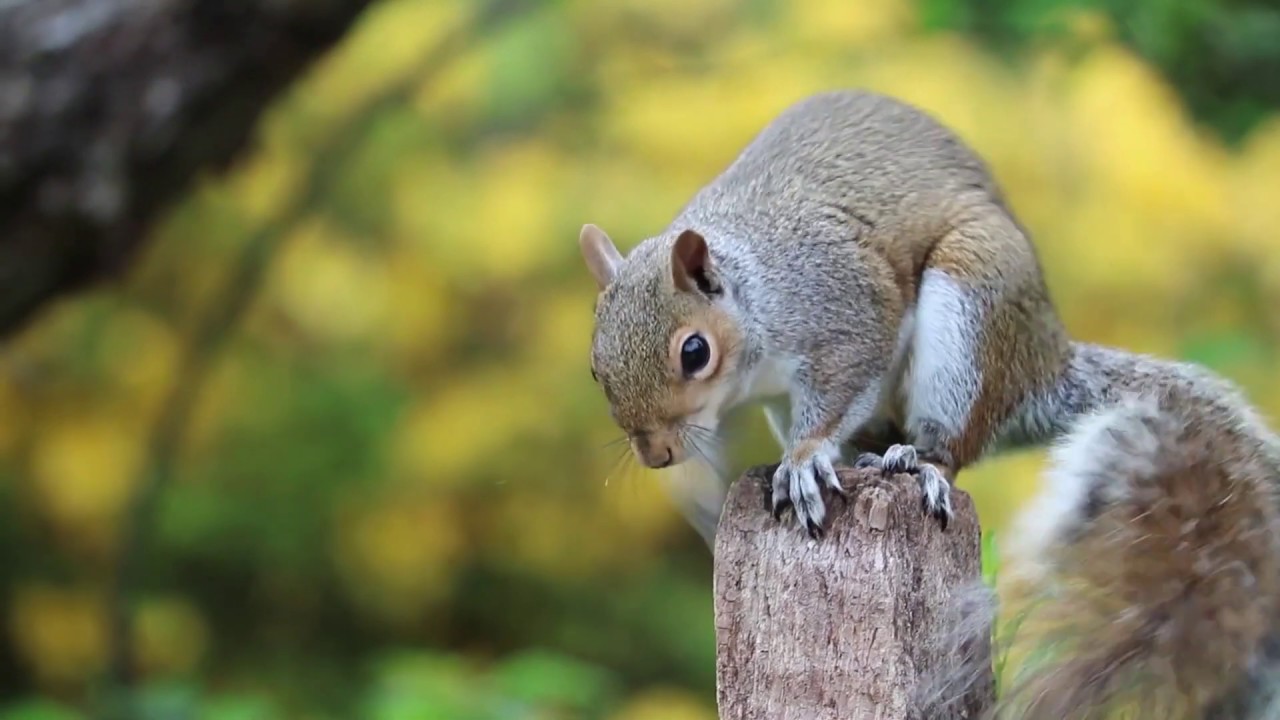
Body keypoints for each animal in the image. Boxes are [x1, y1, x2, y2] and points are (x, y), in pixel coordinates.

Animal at [577, 90, 1280, 718]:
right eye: (594, 364)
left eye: (694, 352)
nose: (658, 455)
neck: (757, 289)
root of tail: (1041, 366)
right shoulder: (779, 393)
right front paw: (783, 464)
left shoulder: (847, 309)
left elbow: (839, 390)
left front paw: (803, 462)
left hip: (970, 314)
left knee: (955, 445)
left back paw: (920, 462)